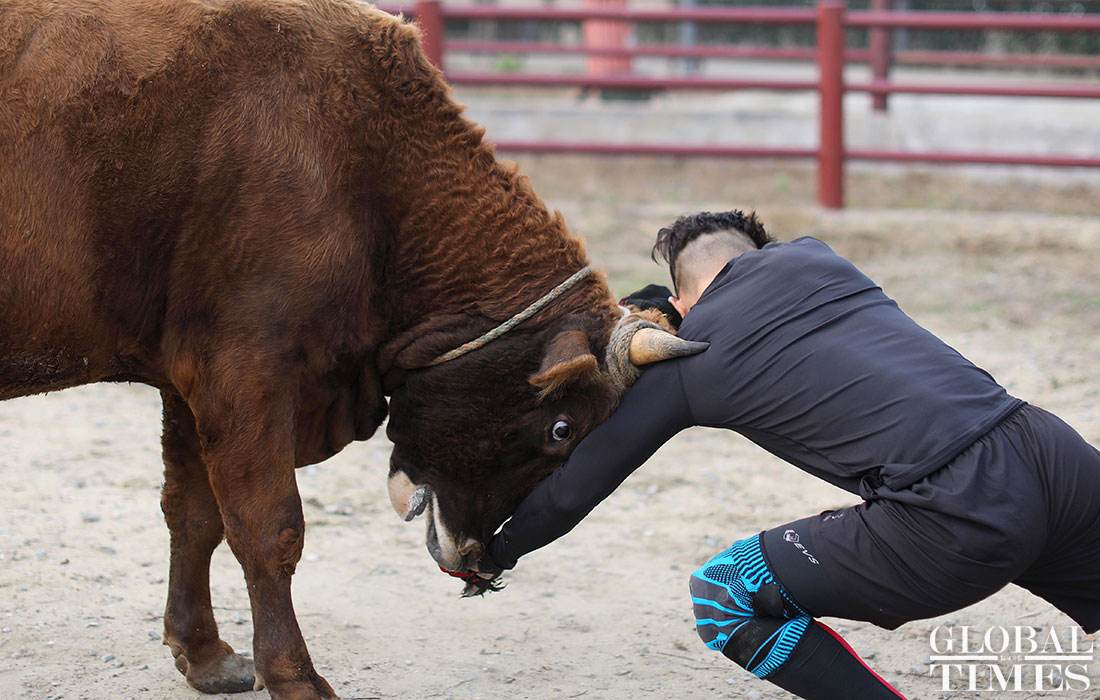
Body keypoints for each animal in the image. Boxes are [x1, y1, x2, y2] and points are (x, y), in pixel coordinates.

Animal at [0, 0, 705, 698]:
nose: (479, 562)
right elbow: (268, 529)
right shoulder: (243, 372)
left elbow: (194, 516)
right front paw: (294, 676)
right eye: (561, 429)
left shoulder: (186, 379)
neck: (360, 165)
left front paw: (203, 652)